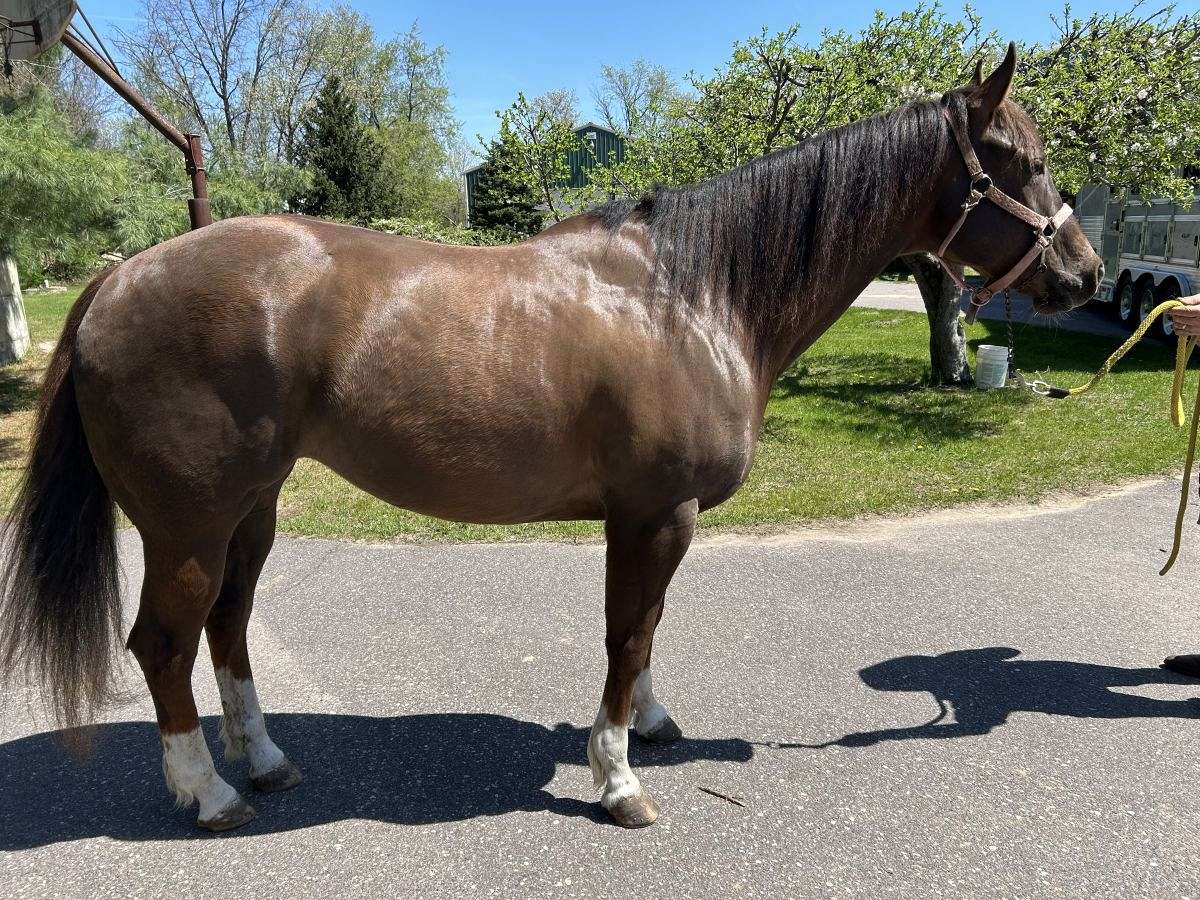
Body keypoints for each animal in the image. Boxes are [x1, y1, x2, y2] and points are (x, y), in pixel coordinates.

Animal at [1, 45, 1100, 831]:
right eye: (1029, 162)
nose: (1085, 274)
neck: (693, 294)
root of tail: (122, 275)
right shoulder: (653, 515)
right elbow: (625, 635)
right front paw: (617, 778)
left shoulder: (659, 519)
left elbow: (649, 629)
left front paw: (651, 728)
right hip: (187, 523)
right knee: (163, 643)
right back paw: (210, 793)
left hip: (251, 511)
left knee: (227, 627)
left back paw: (263, 762)